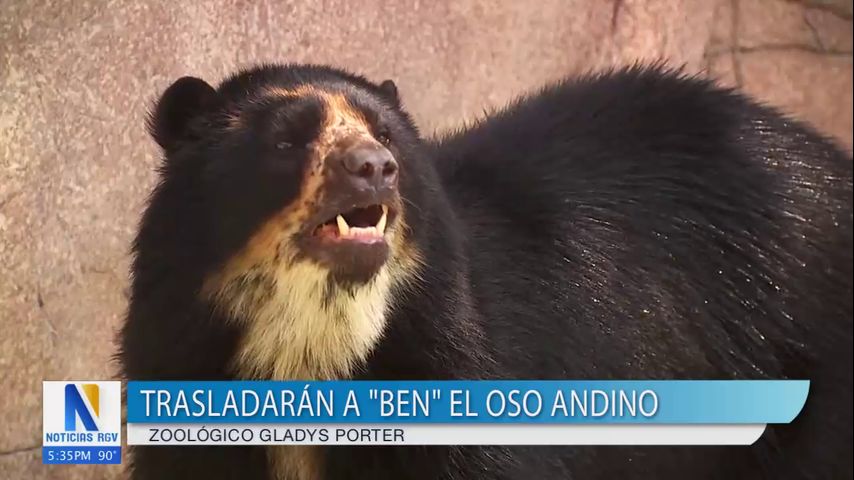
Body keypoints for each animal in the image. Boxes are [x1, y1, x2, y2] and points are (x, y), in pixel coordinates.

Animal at [122, 63, 854, 480]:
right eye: (287, 139)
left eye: (385, 135)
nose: (374, 168)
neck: (315, 342)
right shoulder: (184, 364)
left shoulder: (456, 373)